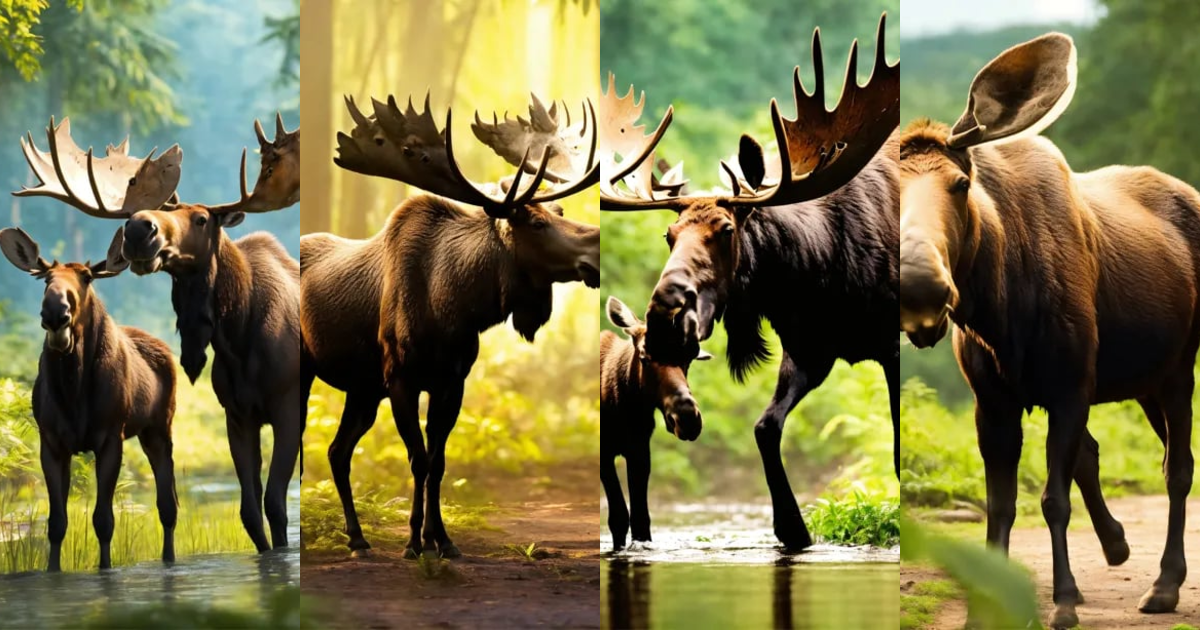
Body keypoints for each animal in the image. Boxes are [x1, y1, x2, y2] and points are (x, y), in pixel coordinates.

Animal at [0, 227, 177, 571]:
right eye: (46, 279)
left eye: (86, 277)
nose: (55, 313)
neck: (73, 391)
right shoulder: (51, 442)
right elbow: (56, 523)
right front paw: (53, 570)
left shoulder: (110, 437)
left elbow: (104, 520)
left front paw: (105, 568)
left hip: (159, 428)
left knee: (168, 505)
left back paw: (169, 559)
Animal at [13, 115, 302, 554]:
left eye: (202, 219)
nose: (137, 228)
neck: (238, 336)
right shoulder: (237, 415)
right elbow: (251, 513)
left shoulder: (287, 407)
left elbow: (275, 506)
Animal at [300, 93, 599, 559]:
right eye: (537, 222)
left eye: (562, 209)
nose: (596, 249)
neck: (455, 304)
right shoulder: (401, 378)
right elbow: (419, 459)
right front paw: (413, 542)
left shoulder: (451, 381)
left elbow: (438, 462)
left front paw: (440, 539)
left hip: (362, 390)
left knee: (337, 450)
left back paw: (358, 538)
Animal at [601, 295, 710, 550]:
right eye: (644, 357)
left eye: (688, 359)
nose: (687, 418)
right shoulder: (604, 453)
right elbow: (618, 517)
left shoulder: (639, 451)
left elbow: (641, 520)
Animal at [897, 32, 1200, 628]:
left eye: (961, 183)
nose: (921, 285)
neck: (998, 307)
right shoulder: (993, 401)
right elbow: (1002, 505)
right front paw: (988, 608)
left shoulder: (1069, 388)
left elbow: (1052, 500)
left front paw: (1061, 601)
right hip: (1145, 379)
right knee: (1113, 453)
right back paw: (1118, 547)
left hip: (1180, 368)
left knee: (1177, 469)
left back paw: (1164, 584)